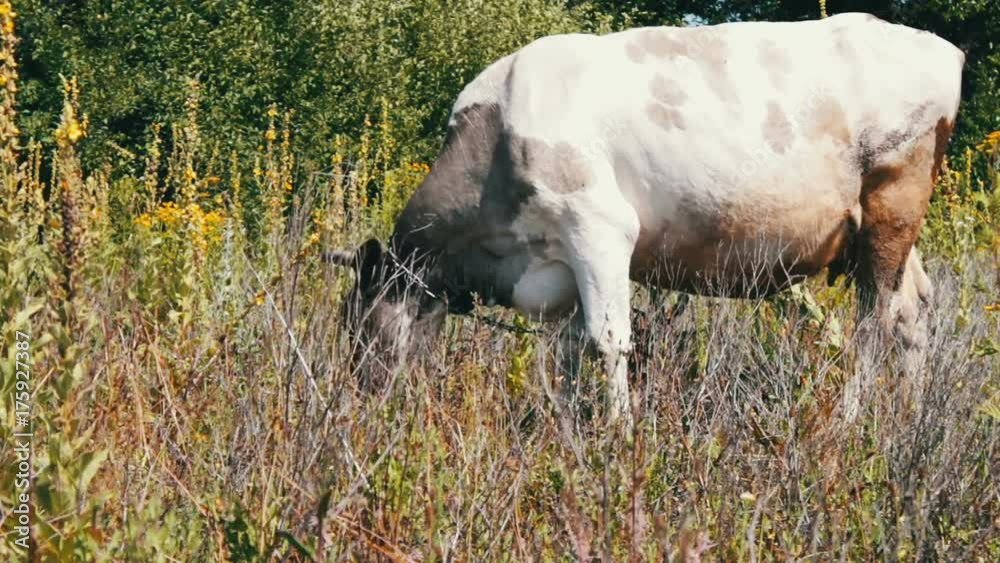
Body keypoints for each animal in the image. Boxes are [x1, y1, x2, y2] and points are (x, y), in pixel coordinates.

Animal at [328, 13, 964, 425]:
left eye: (359, 325)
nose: (360, 401)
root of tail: (941, 48)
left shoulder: (599, 228)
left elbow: (608, 342)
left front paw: (619, 433)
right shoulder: (557, 268)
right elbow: (565, 356)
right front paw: (567, 436)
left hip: (892, 201)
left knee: (874, 321)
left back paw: (851, 421)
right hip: (885, 227)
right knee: (914, 312)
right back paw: (909, 416)